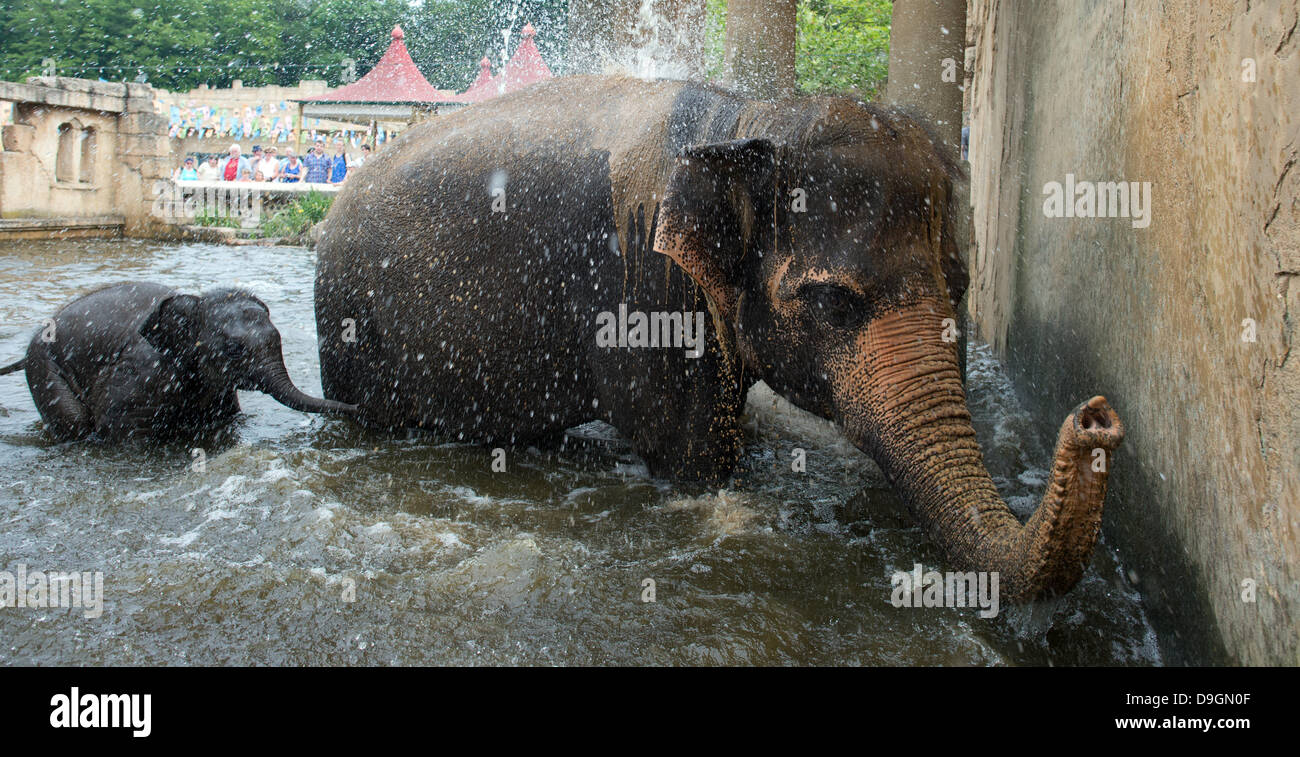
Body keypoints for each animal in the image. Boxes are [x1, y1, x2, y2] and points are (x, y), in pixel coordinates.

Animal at [0, 282, 355, 441]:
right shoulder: (142, 374)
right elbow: (120, 426)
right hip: (44, 368)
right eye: (233, 349)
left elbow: (225, 418)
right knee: (74, 422)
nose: (356, 407)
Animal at [315, 75, 1125, 602]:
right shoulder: (642, 286)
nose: (1096, 417)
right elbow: (692, 454)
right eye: (830, 302)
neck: (744, 121)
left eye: (960, 285)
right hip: (350, 325)